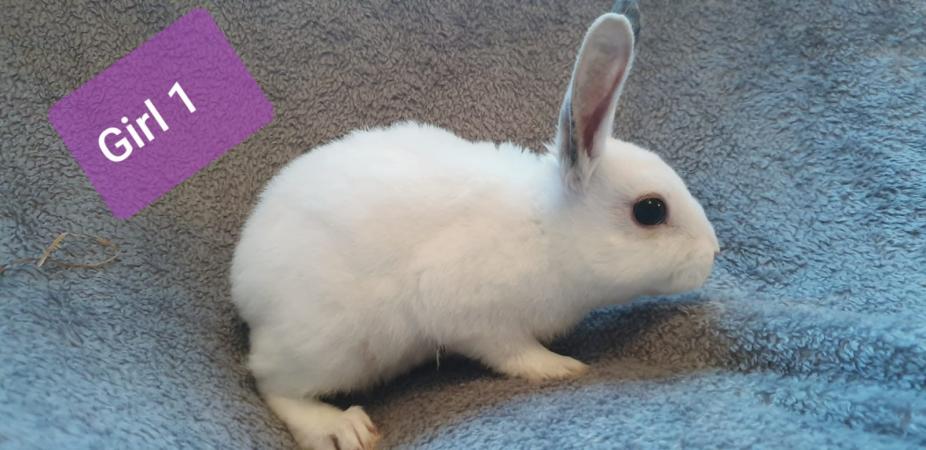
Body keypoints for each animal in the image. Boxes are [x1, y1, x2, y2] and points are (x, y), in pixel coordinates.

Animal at [231, 7, 719, 450]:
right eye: (650, 211)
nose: (713, 252)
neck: (548, 230)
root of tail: (244, 285)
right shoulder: (476, 318)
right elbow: (514, 353)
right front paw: (561, 367)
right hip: (330, 347)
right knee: (272, 383)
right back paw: (339, 429)